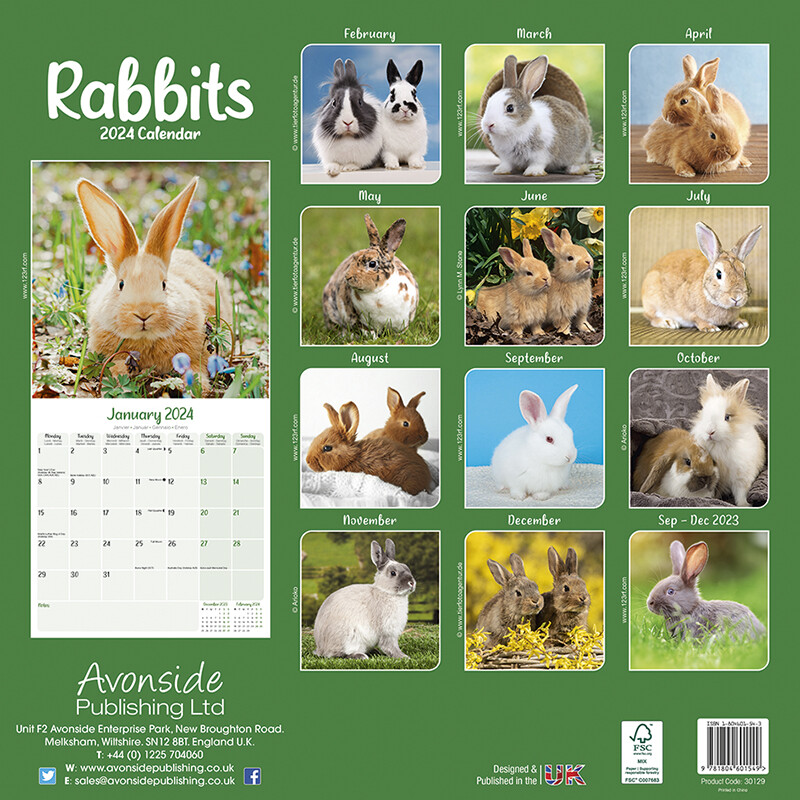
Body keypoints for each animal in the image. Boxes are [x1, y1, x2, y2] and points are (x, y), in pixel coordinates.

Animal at [690, 374, 765, 507]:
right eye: (703, 414)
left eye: (727, 417)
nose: (710, 432)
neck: (719, 445)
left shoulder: (742, 476)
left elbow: (741, 493)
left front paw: (744, 505)